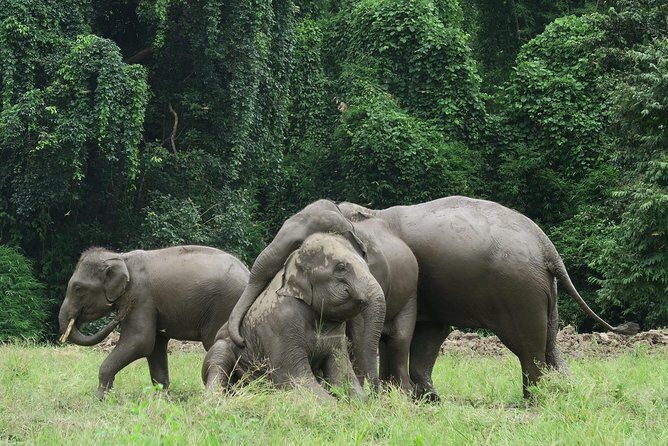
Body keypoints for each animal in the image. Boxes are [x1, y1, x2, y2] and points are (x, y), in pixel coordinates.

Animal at [58, 245, 249, 399]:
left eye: (78, 288)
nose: (118, 315)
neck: (122, 258)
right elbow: (154, 346)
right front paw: (161, 399)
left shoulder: (140, 297)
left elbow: (140, 341)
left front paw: (100, 398)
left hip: (224, 307)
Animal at [202, 233, 384, 400]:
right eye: (341, 268)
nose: (377, 394)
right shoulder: (281, 324)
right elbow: (295, 380)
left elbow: (342, 376)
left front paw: (361, 401)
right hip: (221, 348)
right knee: (219, 358)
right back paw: (215, 400)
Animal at [227, 197, 639, 399]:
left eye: (297, 245)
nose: (239, 339)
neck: (365, 212)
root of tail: (547, 246)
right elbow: (413, 334)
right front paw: (401, 397)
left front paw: (387, 397)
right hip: (542, 289)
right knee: (548, 343)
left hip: (519, 289)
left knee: (529, 347)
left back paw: (535, 401)